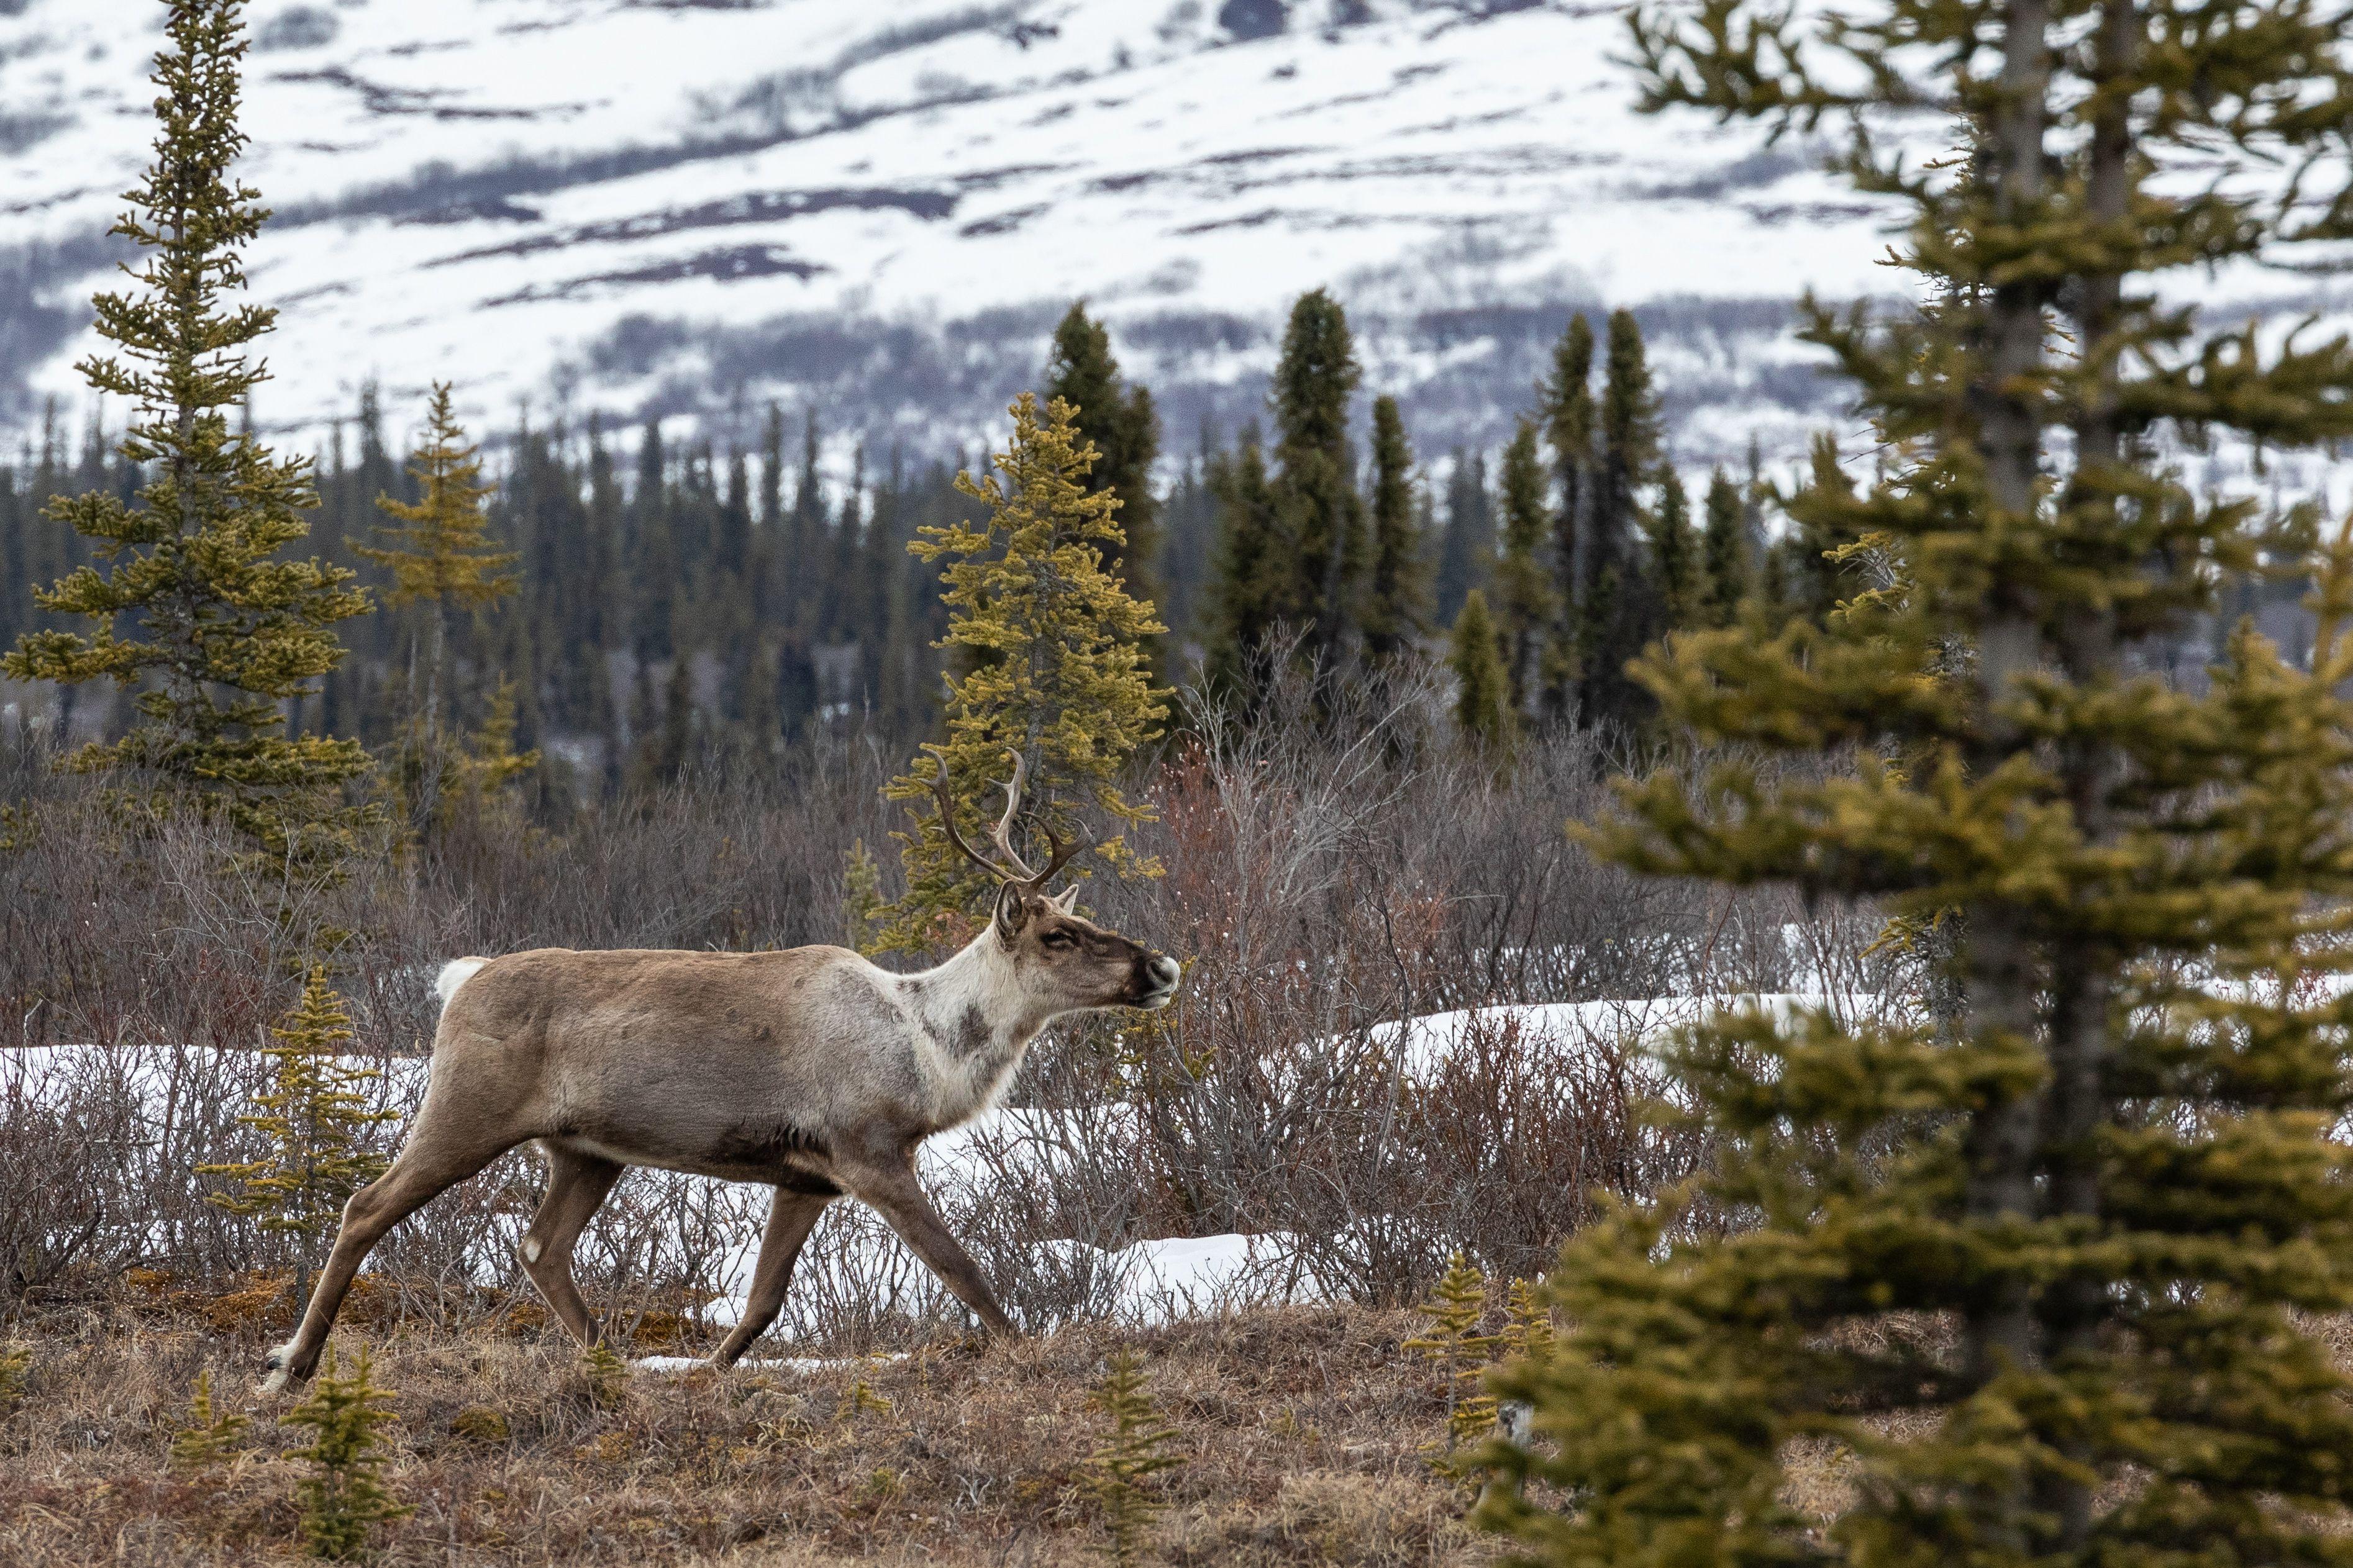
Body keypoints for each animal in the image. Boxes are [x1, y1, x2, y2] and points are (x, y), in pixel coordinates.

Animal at [260, 753, 1181, 1393]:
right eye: (1058, 935)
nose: (1162, 965)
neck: (927, 1051)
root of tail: (459, 980)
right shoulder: (867, 1149)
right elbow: (962, 1266)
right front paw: (1031, 1354)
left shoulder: (808, 1174)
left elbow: (765, 1299)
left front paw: (707, 1371)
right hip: (467, 1108)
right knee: (366, 1204)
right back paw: (293, 1365)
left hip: (584, 1148)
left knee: (540, 1244)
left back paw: (611, 1364)